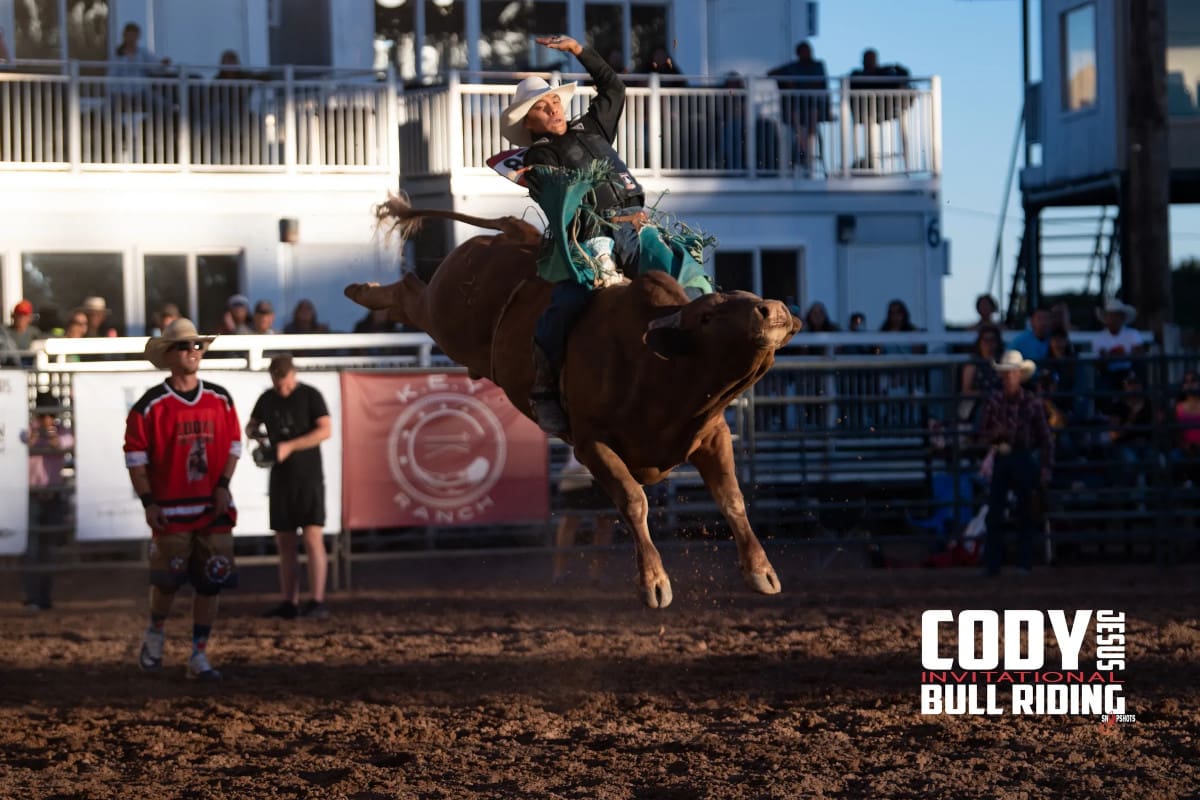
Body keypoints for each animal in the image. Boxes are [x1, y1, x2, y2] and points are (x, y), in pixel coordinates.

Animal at [346, 195, 801, 608]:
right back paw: (363, 290)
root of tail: (514, 233)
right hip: (445, 315)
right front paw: (654, 583)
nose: (774, 309)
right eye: (708, 316)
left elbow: (732, 499)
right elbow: (633, 500)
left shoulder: (712, 434)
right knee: (411, 294)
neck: (659, 367)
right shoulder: (590, 444)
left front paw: (761, 571)